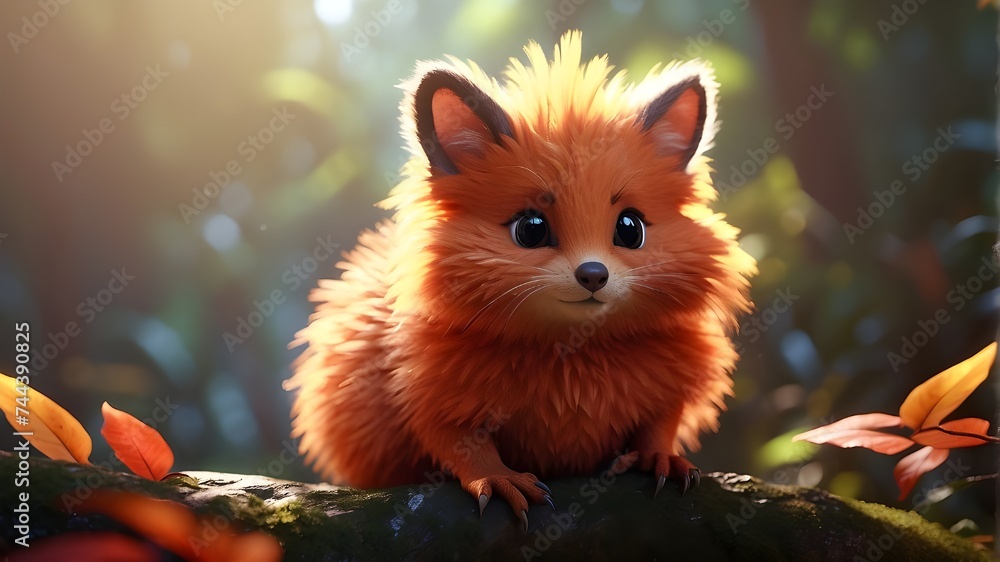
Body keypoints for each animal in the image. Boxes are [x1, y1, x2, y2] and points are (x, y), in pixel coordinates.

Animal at [287, 31, 755, 529]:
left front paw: (661, 459)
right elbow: (459, 444)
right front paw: (500, 481)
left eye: (631, 229)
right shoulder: (425, 394)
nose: (594, 274)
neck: (572, 355)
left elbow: (659, 426)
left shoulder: (673, 386)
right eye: (530, 229)